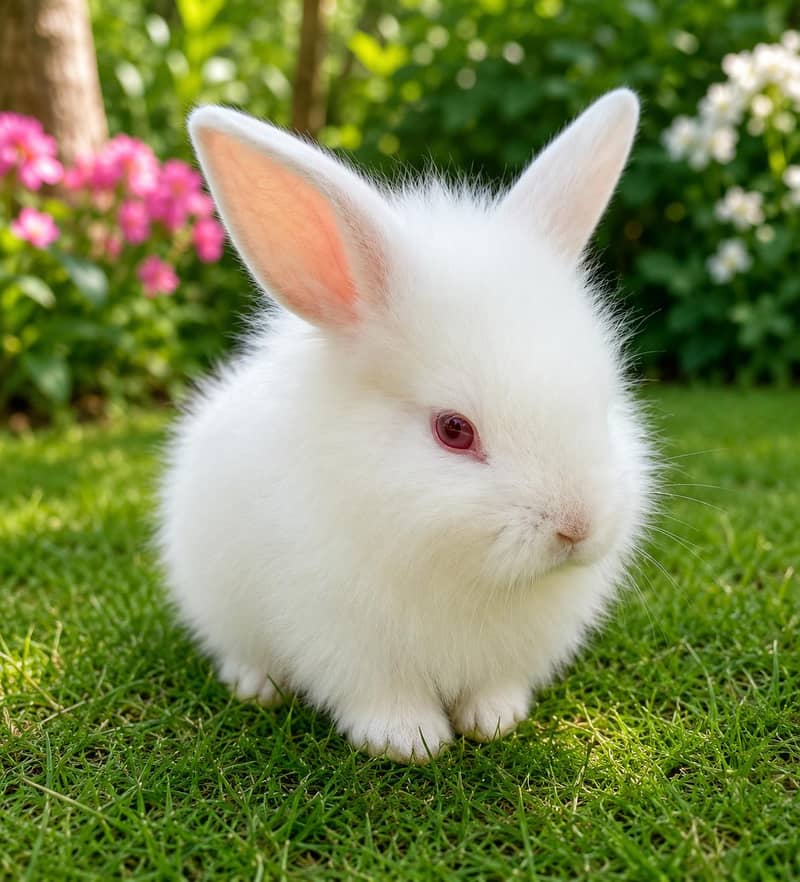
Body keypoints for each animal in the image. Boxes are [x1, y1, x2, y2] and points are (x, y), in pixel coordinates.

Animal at [159, 88, 657, 763]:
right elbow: (378, 694)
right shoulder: (342, 637)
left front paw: (494, 719)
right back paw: (256, 685)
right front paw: (409, 741)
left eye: (601, 404)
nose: (577, 529)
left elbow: (494, 686)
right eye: (454, 430)